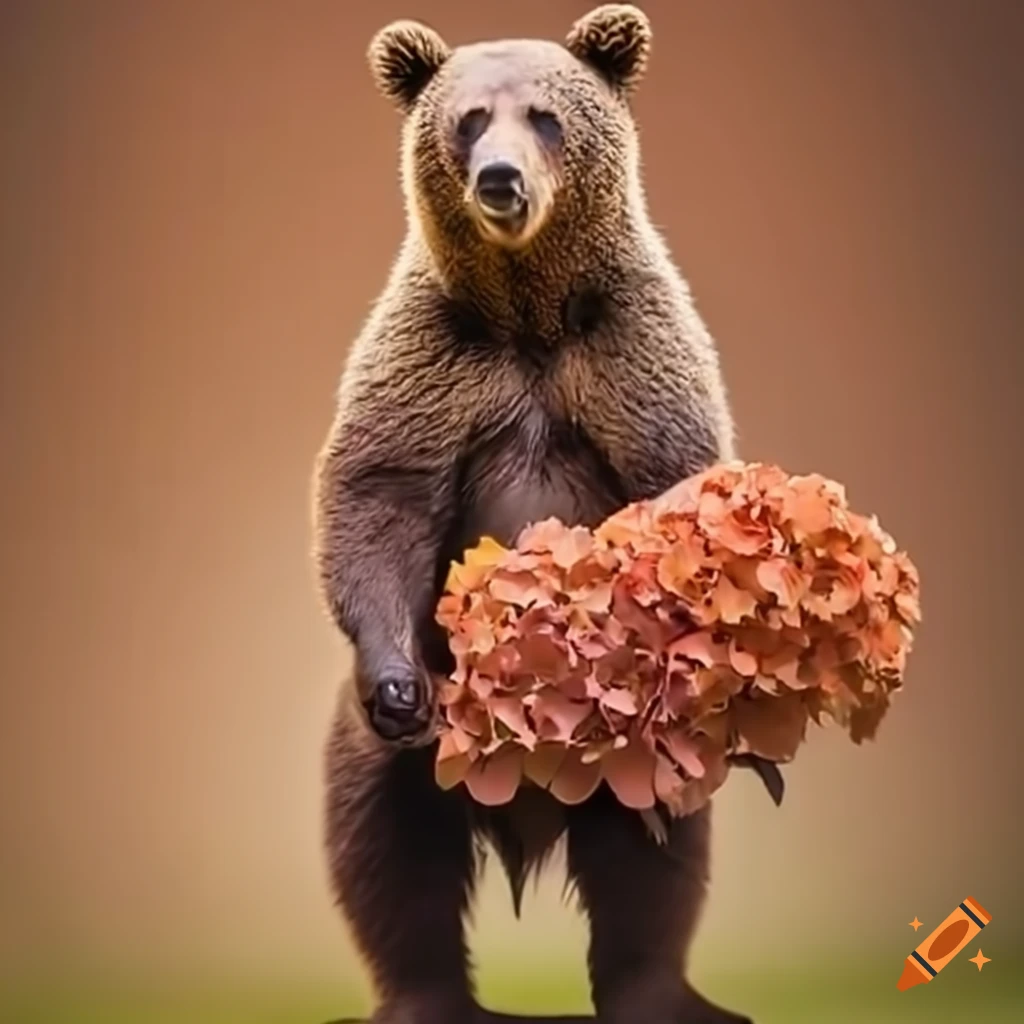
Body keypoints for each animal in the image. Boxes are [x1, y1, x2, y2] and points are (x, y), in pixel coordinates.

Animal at [314, 6, 755, 1024]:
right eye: (470, 118)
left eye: (545, 117)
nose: (500, 179)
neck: (529, 318)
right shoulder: (433, 359)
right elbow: (378, 493)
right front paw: (396, 683)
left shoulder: (631, 353)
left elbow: (677, 491)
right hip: (409, 748)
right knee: (385, 840)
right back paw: (427, 995)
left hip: (638, 760)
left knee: (657, 849)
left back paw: (668, 995)